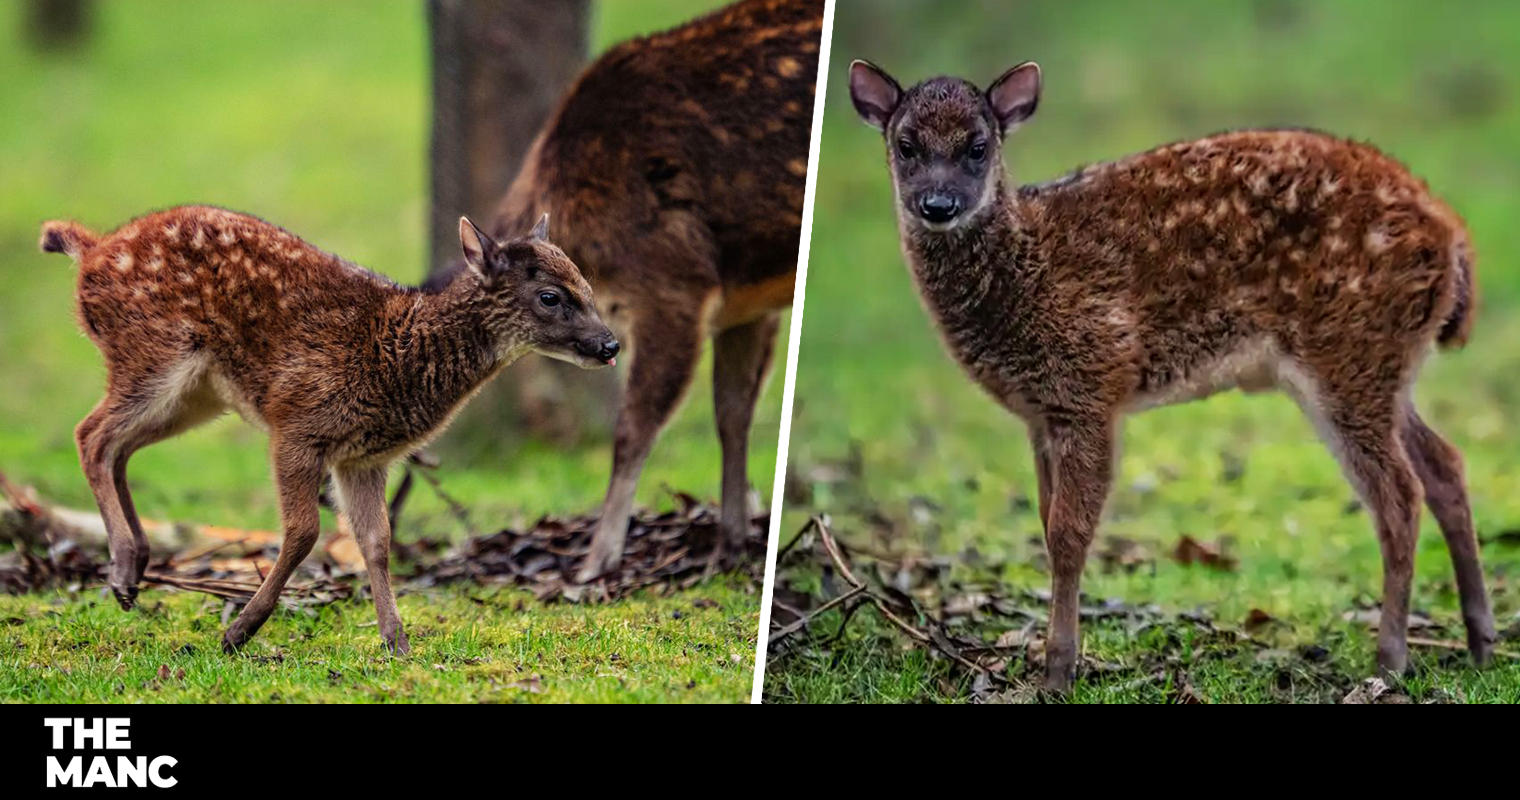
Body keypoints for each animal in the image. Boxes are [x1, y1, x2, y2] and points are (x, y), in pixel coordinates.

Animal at [40, 205, 617, 654]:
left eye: (588, 287)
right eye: (550, 296)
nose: (609, 344)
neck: (398, 355)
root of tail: (91, 251)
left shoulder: (363, 458)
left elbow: (377, 541)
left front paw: (396, 642)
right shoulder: (298, 424)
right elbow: (303, 532)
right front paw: (238, 632)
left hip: (196, 395)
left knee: (116, 446)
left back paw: (135, 569)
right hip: (153, 353)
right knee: (91, 434)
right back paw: (122, 572)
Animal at [434, 0, 824, 582]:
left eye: (551, 296)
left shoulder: (675, 282)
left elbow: (632, 429)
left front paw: (594, 565)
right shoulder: (744, 303)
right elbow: (732, 412)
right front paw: (730, 546)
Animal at [847, 59, 1497, 693]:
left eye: (978, 147)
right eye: (905, 145)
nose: (938, 205)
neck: (1028, 270)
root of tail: (1455, 237)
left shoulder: (1093, 379)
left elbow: (1068, 534)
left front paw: (1058, 672)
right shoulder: (1041, 411)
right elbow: (1045, 520)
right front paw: (1053, 662)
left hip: (1351, 349)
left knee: (1400, 495)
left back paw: (1390, 661)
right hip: (1382, 363)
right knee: (1443, 463)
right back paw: (1480, 642)